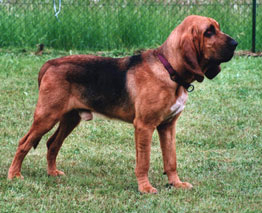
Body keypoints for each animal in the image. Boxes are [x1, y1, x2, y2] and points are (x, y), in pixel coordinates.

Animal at [7, 15, 237, 193]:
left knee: (52, 143)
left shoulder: (168, 127)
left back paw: (52, 173)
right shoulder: (144, 126)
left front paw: (176, 183)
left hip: (70, 119)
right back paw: (14, 175)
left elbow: (171, 160)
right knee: (23, 143)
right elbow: (143, 161)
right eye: (209, 32)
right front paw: (145, 188)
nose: (235, 43)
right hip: (46, 117)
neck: (169, 70)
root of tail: (49, 63)